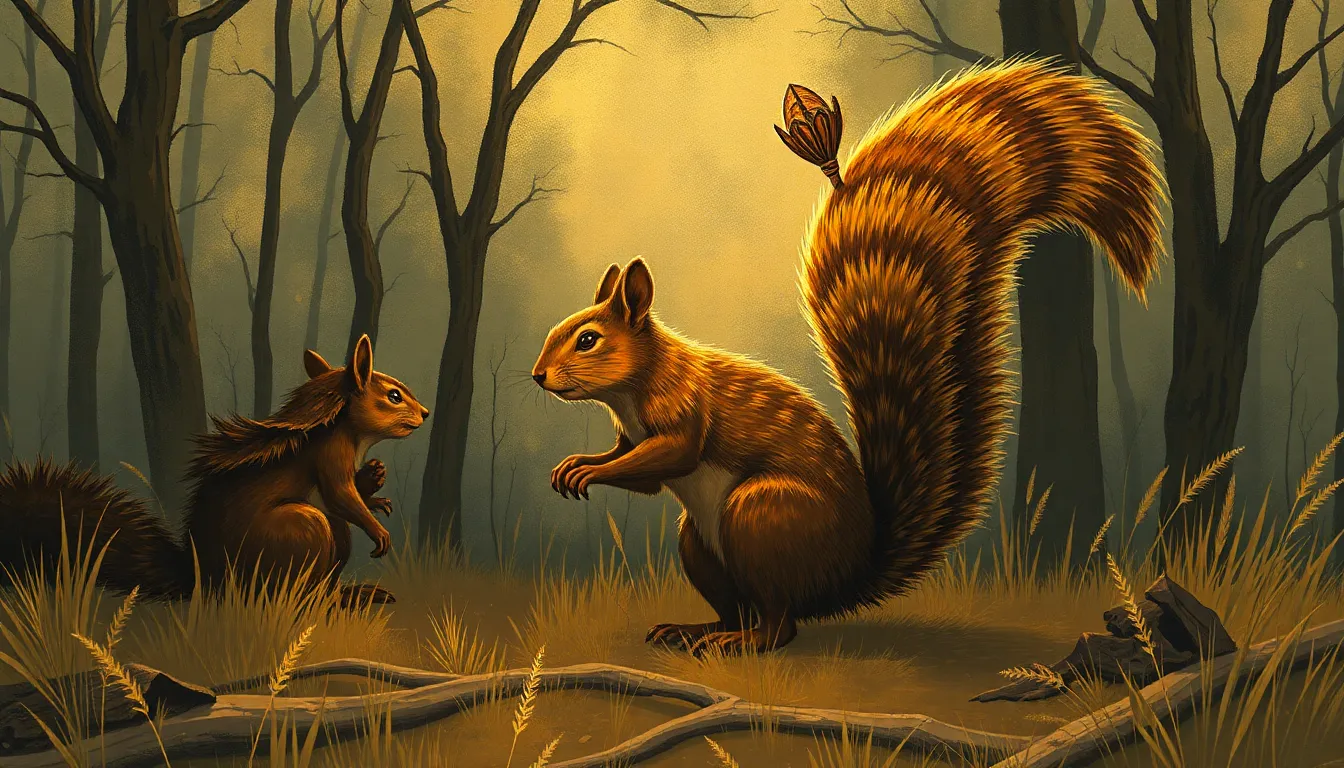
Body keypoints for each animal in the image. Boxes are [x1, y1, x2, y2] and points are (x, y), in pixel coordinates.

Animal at [0, 334, 429, 606]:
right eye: (394, 396)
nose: (425, 413)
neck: (340, 422)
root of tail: (204, 580)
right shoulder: (329, 452)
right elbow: (340, 495)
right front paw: (376, 526)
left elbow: (348, 493)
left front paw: (374, 482)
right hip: (302, 528)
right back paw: (335, 600)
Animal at [530, 60, 1164, 654]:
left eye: (588, 339)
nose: (538, 376)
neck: (634, 387)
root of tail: (847, 574)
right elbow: (638, 469)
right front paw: (579, 462)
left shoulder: (684, 405)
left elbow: (673, 451)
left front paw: (588, 470)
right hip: (700, 544)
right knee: (739, 608)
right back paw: (694, 630)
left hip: (759, 515)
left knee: (778, 623)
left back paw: (741, 642)